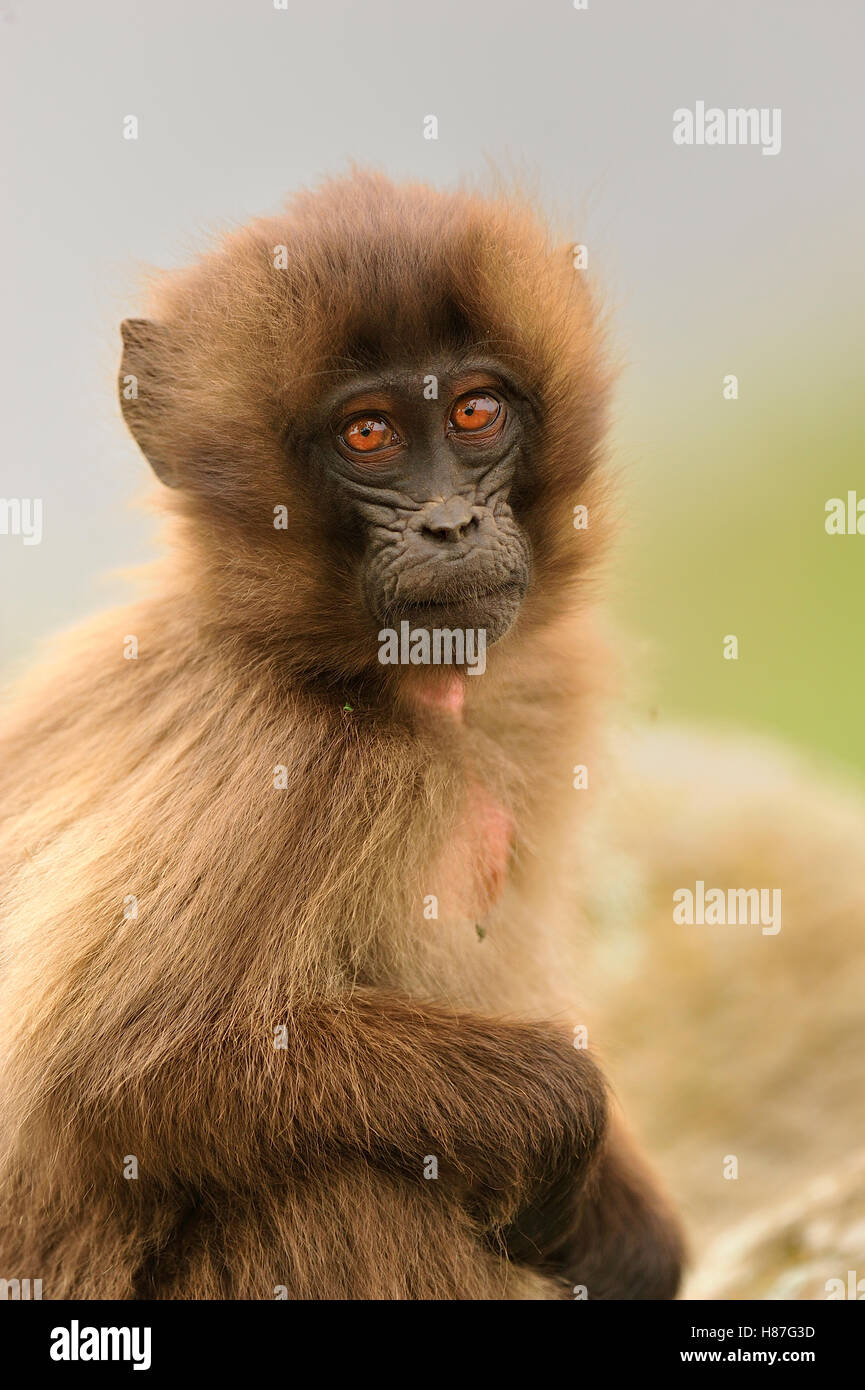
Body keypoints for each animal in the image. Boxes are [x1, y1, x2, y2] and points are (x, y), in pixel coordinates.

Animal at [0, 171, 683, 1300]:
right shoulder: (304, 766)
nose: (450, 525)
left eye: (474, 411)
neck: (391, 694)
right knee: (340, 1190)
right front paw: (565, 1128)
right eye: (368, 435)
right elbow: (133, 1073)